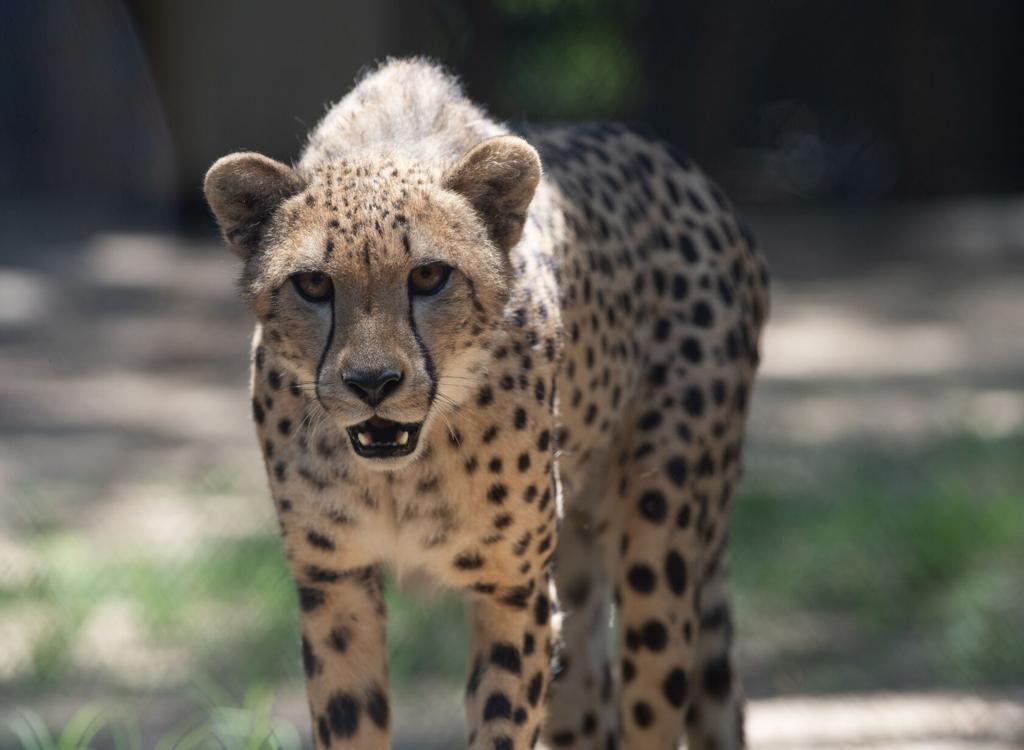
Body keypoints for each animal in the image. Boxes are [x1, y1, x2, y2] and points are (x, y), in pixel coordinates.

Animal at [204, 57, 769, 750]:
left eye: (429, 276)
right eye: (312, 284)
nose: (372, 383)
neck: (401, 473)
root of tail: (680, 165)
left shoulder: (514, 590)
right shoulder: (335, 582)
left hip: (658, 539)